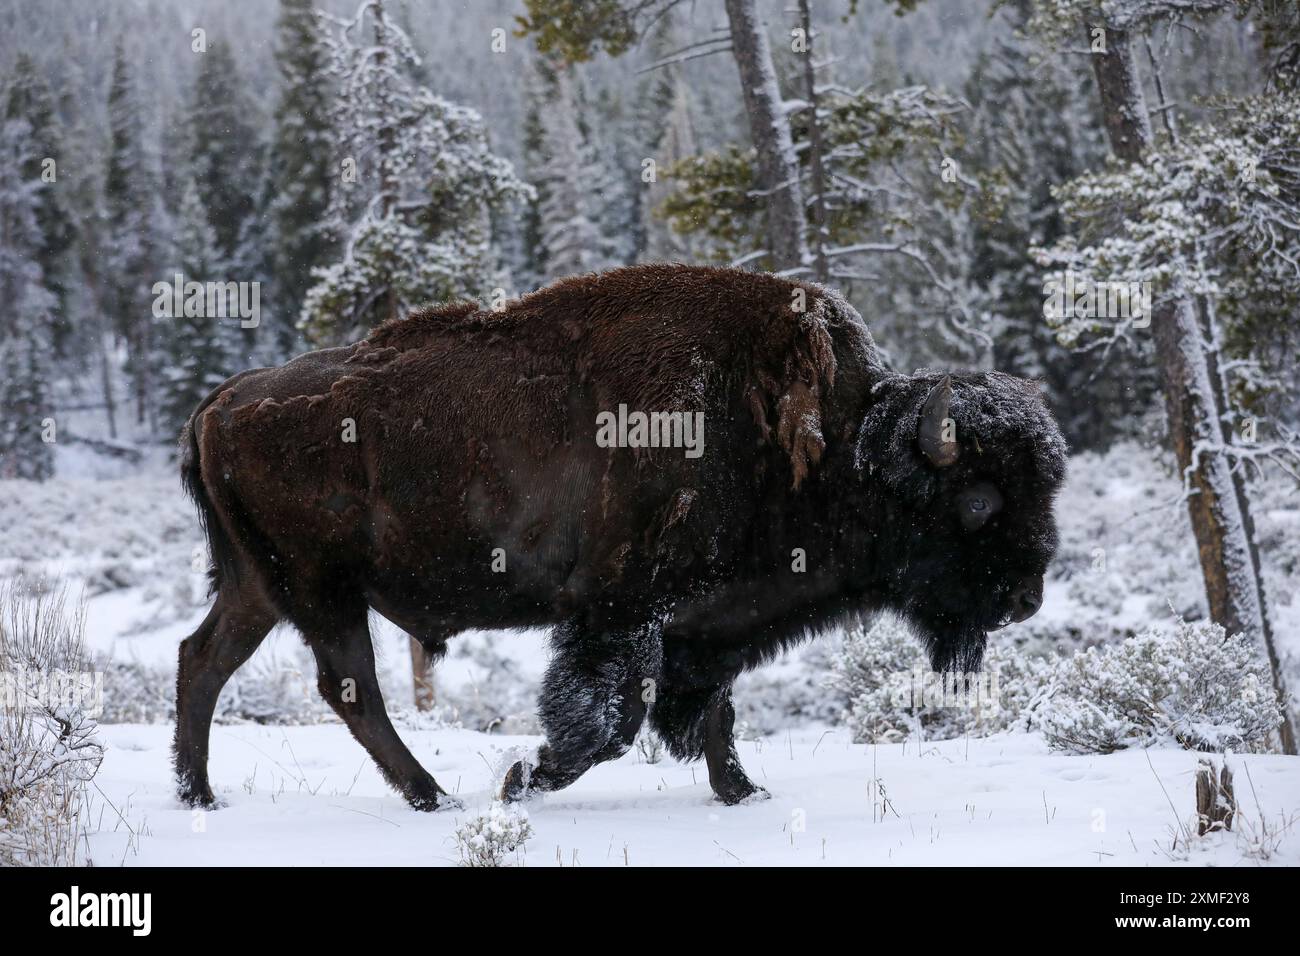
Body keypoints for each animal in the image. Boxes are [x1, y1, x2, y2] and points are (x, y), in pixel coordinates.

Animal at [174, 263, 1066, 810]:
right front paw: (525, 777)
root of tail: (223, 400)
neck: (827, 445)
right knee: (348, 687)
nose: (1026, 600)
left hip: (260, 585)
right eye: (978, 501)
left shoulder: (708, 619)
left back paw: (201, 794)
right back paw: (435, 797)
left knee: (203, 659)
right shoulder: (625, 612)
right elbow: (610, 717)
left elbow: (712, 708)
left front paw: (744, 792)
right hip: (321, 589)